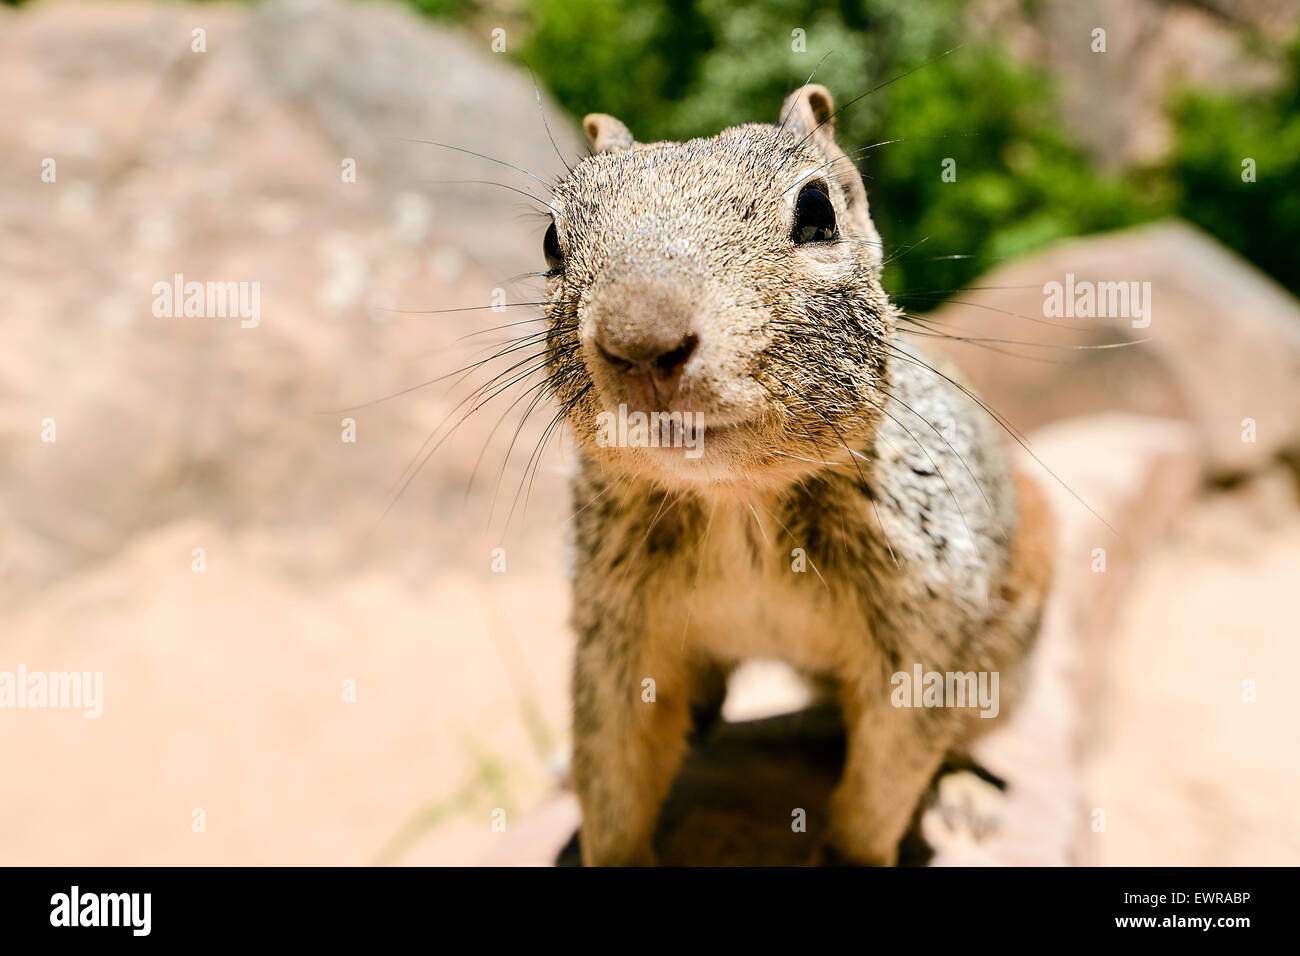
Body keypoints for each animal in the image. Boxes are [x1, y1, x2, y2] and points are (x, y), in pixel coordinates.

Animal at [539, 84, 1055, 865]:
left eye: (817, 210)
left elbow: (886, 779)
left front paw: (850, 854)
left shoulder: (928, 623)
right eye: (550, 242)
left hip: (1008, 648)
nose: (641, 341)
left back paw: (965, 791)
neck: (735, 499)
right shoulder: (614, 630)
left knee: (967, 735)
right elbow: (614, 769)